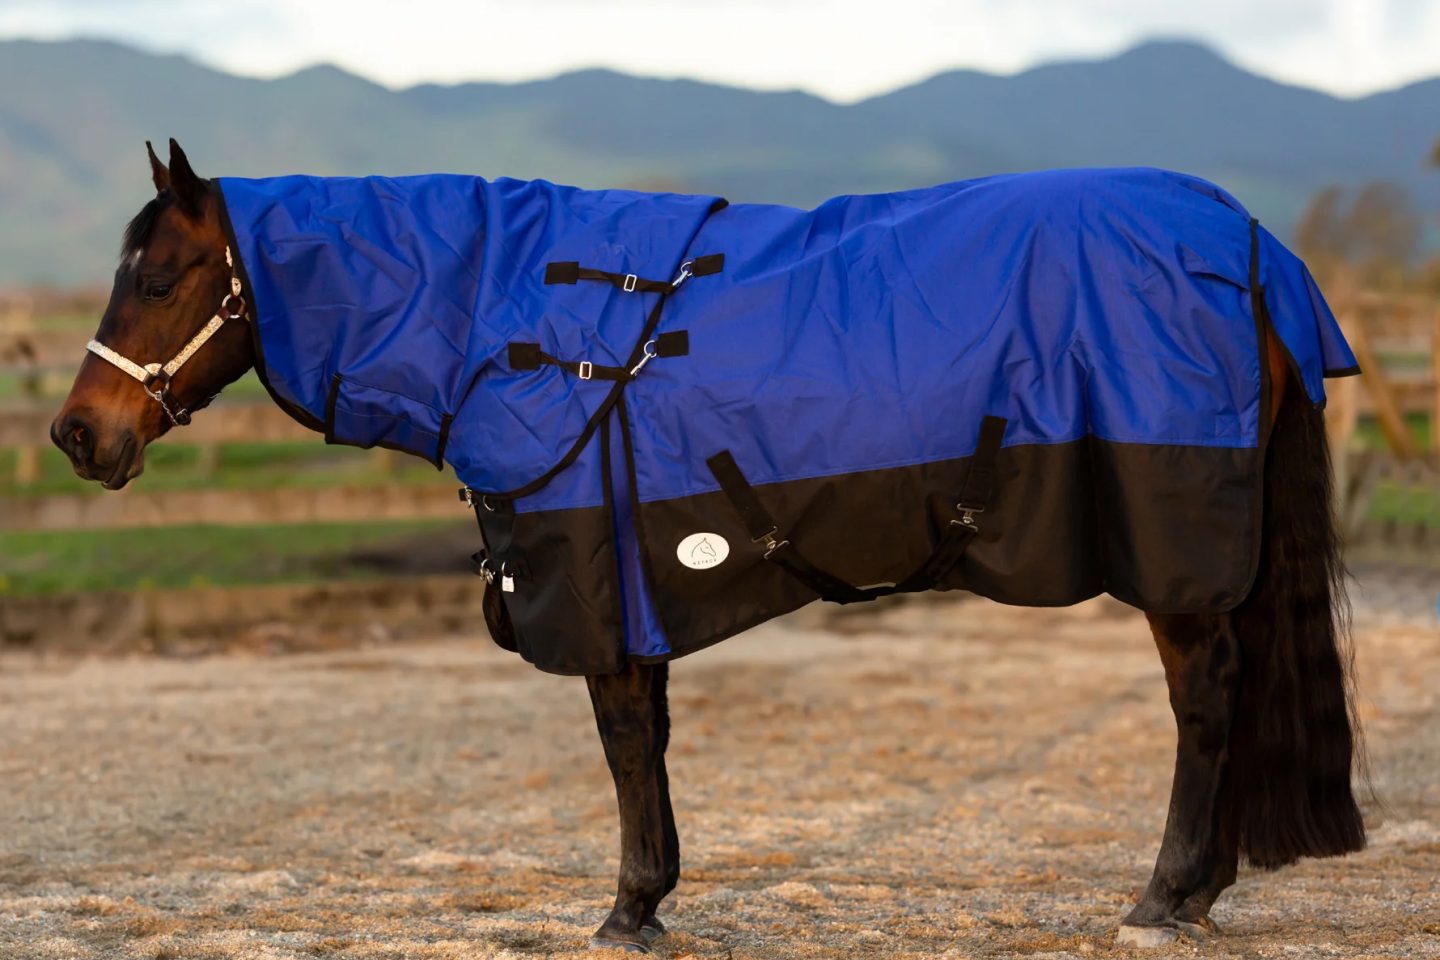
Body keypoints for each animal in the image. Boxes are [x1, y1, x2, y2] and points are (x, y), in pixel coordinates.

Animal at [52, 139, 1366, 951]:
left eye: (159, 277)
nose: (77, 434)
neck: (499, 301)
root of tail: (1248, 246)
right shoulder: (636, 571)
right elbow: (654, 743)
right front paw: (653, 898)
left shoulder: (592, 571)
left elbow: (626, 746)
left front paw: (629, 910)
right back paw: (1202, 892)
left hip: (1176, 551)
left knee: (1206, 698)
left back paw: (1165, 895)